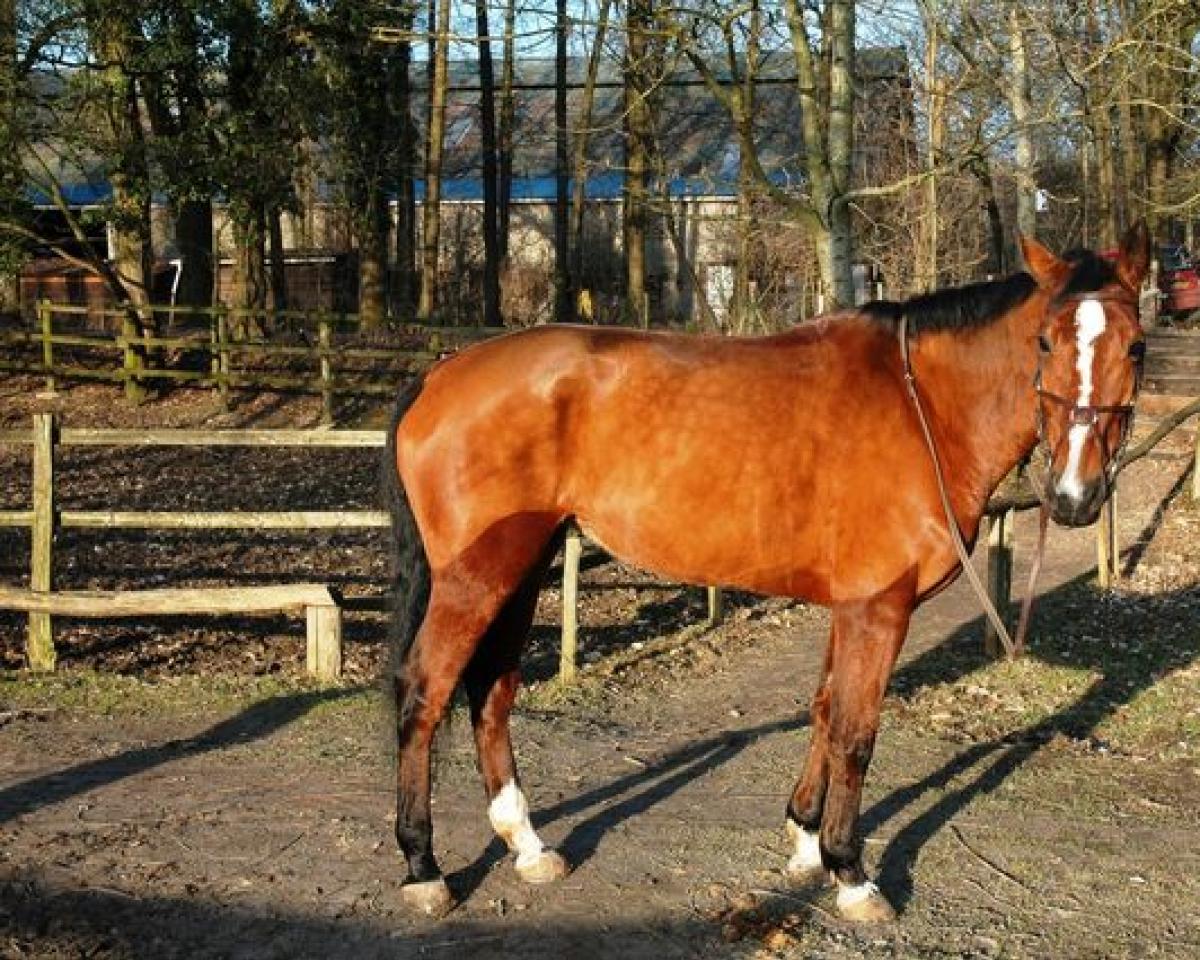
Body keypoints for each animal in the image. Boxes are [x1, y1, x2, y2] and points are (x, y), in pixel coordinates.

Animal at [381, 223, 1149, 922]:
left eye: (1136, 346)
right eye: (1046, 342)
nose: (1075, 497)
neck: (922, 406)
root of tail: (442, 372)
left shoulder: (853, 604)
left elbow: (825, 710)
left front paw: (806, 840)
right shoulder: (879, 607)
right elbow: (856, 734)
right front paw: (850, 872)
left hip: (526, 563)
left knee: (491, 691)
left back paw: (529, 846)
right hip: (477, 576)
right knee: (426, 692)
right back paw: (423, 867)